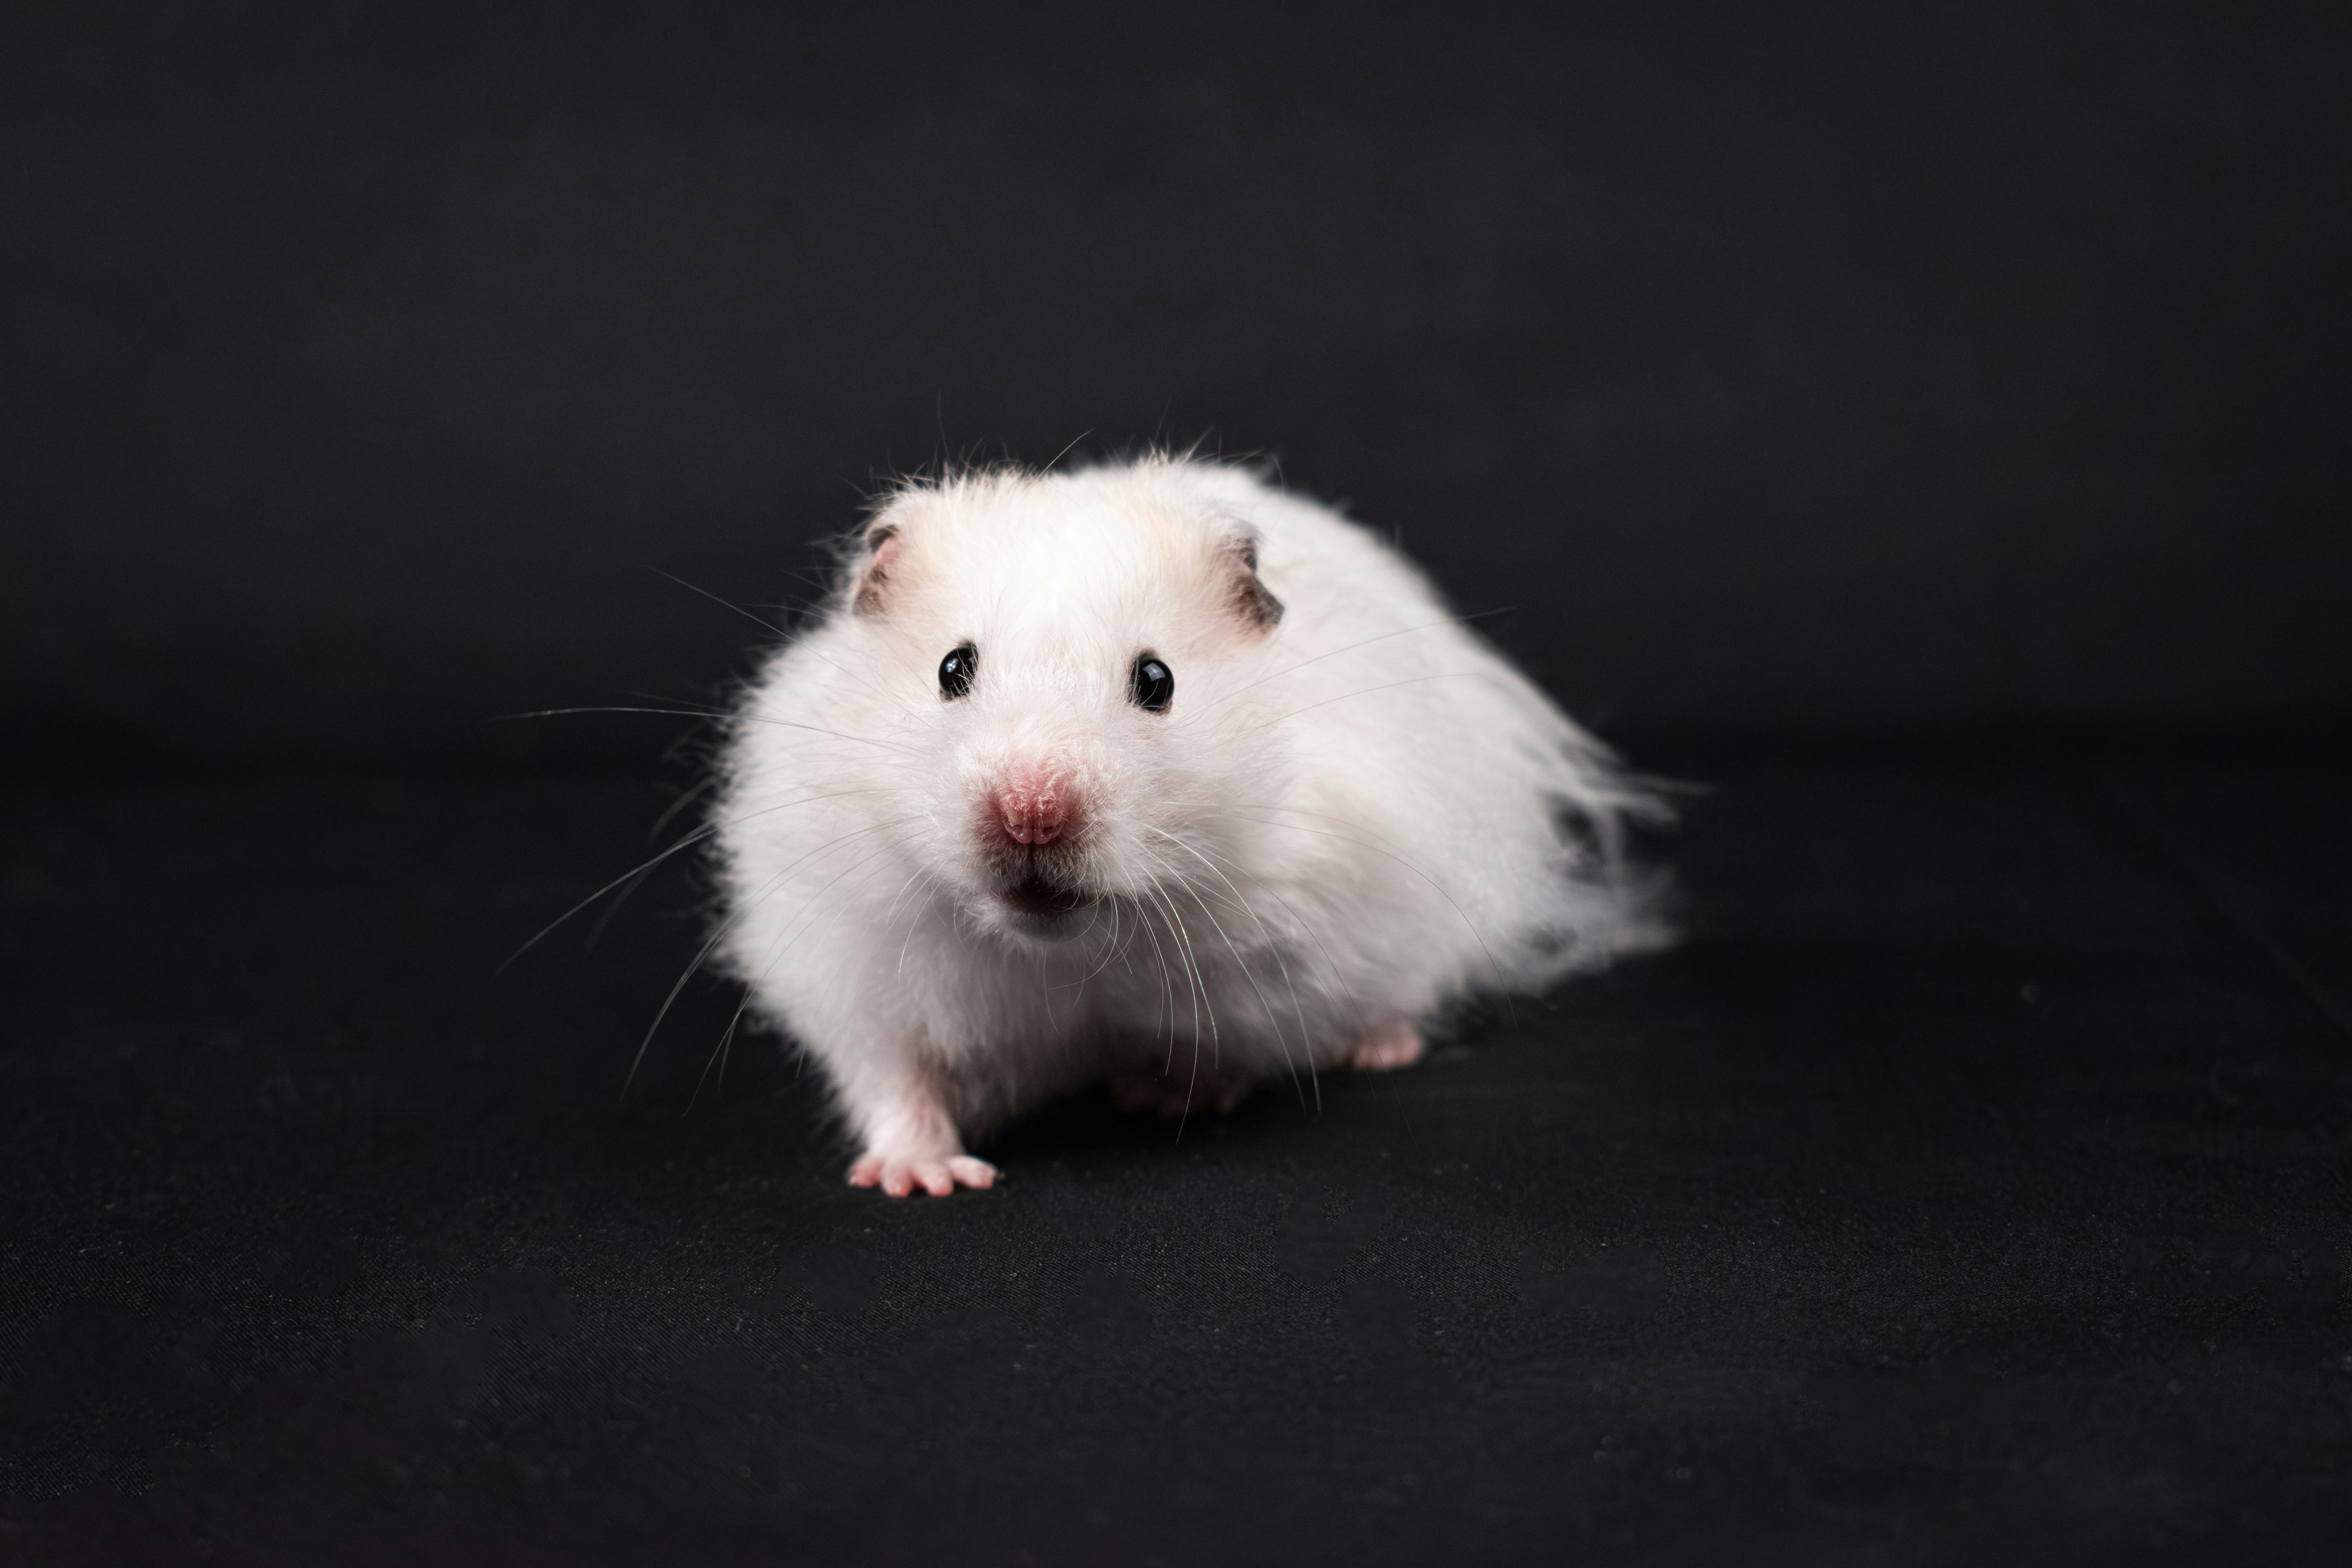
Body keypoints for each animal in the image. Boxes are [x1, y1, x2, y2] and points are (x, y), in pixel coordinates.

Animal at [710, 456, 1669, 1197]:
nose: (1031, 813)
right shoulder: (849, 955)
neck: (1063, 952)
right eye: (952, 668)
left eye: (1157, 680)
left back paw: (1380, 1048)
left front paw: (1166, 1096)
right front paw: (925, 1179)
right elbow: (893, 1078)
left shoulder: (1290, 944)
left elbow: (1237, 1041)